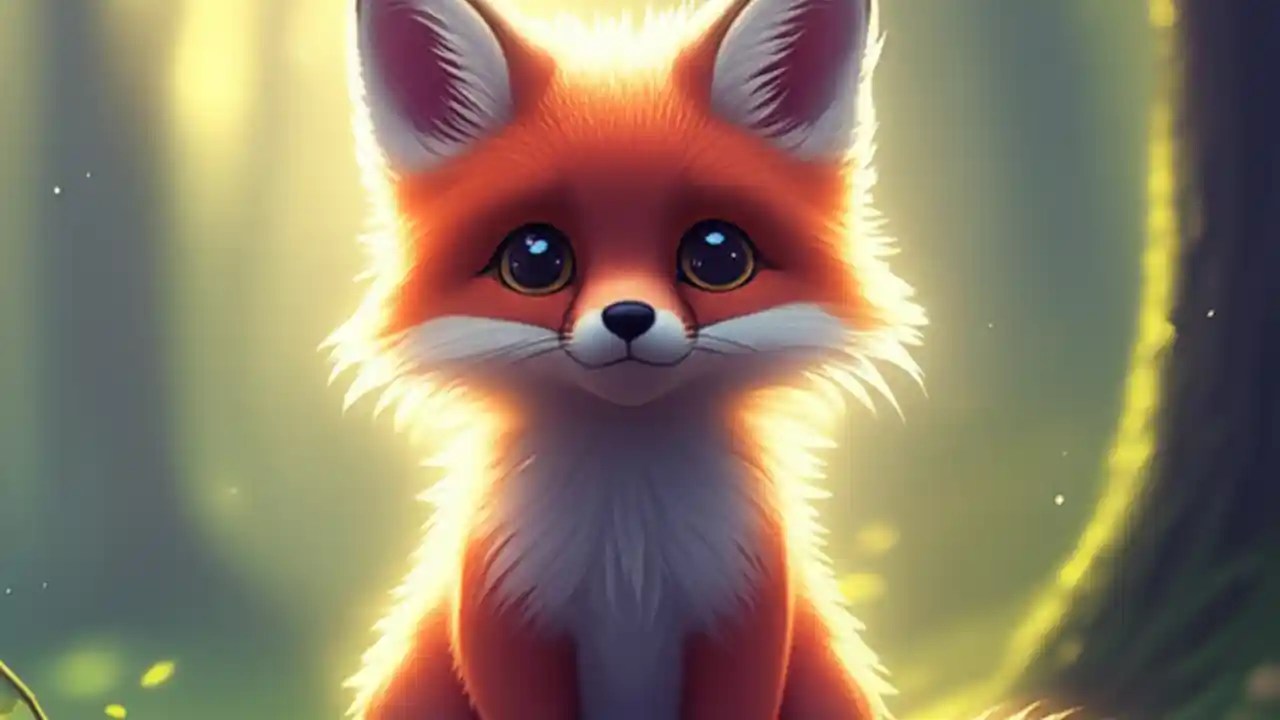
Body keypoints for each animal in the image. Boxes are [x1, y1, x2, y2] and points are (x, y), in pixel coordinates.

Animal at [327, 0, 1076, 718]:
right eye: (534, 260)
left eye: (718, 255)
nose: (628, 317)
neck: (628, 553)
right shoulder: (501, 617)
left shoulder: (750, 612)